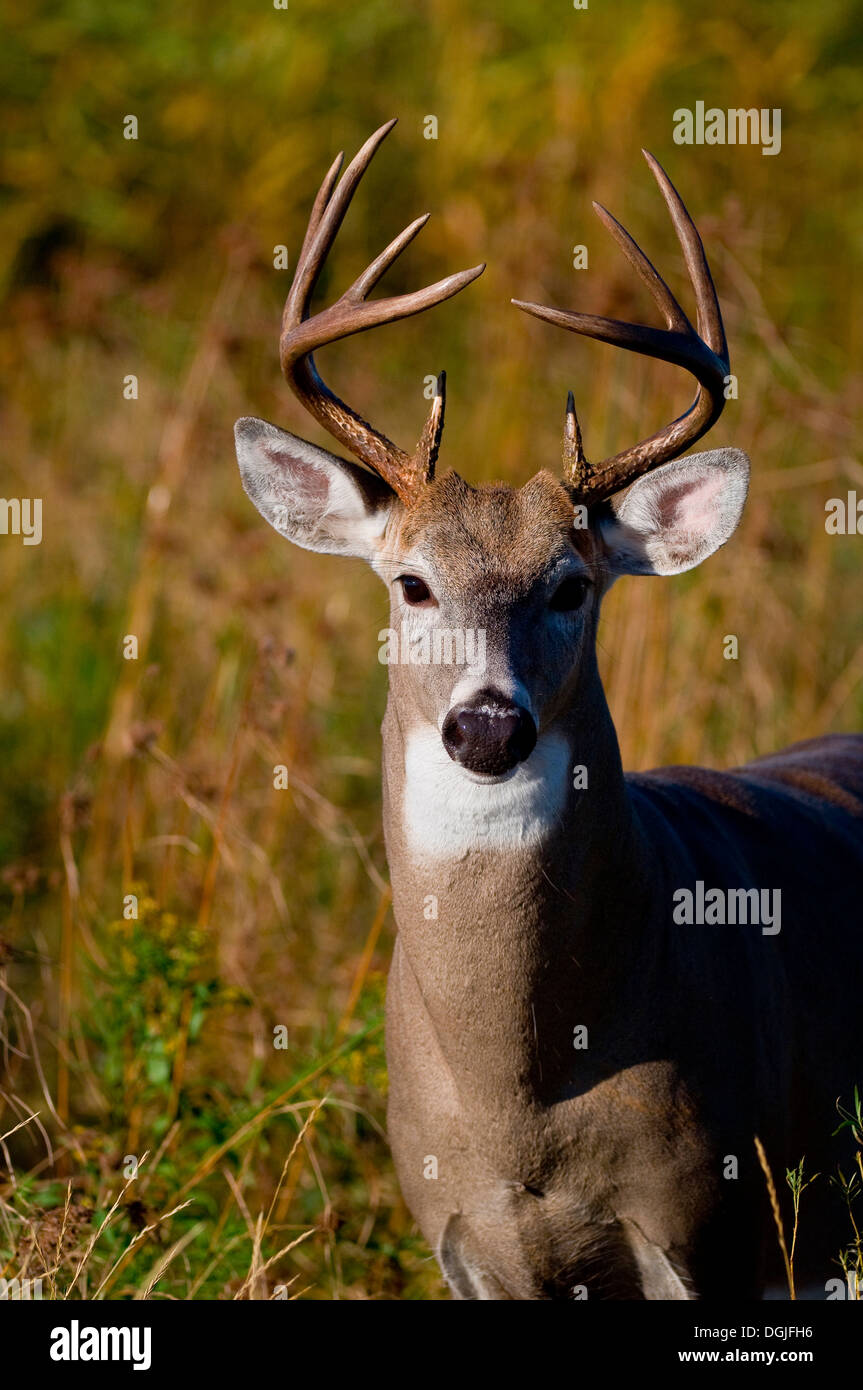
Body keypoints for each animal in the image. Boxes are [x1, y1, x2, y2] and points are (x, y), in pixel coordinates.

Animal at [234, 119, 863, 1299]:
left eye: (571, 586)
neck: (522, 1099)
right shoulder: (456, 1232)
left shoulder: (714, 1218)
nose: (486, 725)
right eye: (411, 583)